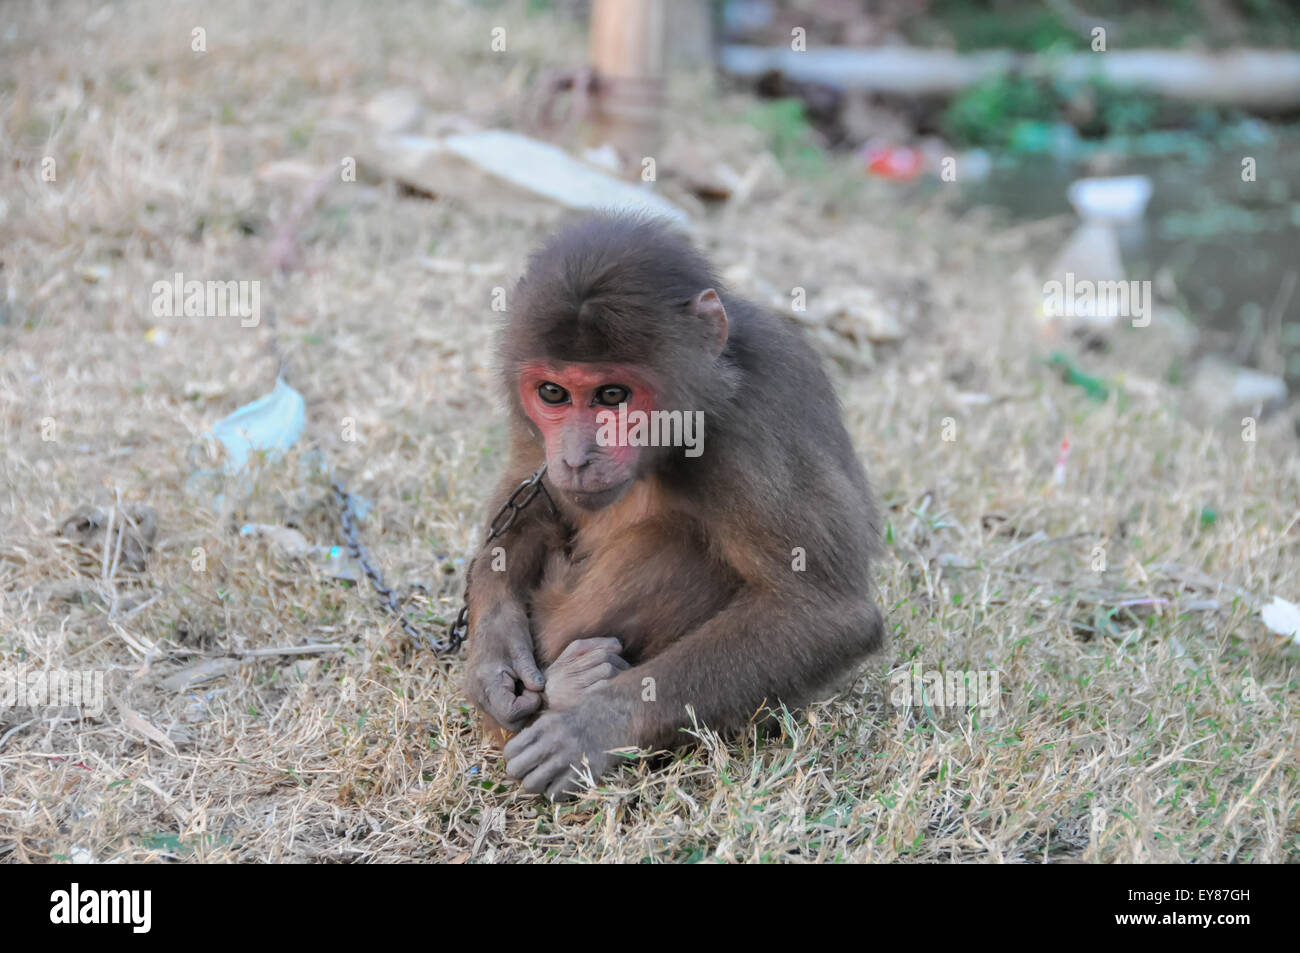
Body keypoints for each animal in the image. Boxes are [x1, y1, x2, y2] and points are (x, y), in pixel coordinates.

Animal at [462, 213, 884, 799]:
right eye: (552, 393)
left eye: (612, 396)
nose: (574, 457)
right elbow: (529, 494)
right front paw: (494, 658)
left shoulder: (750, 429)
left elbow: (826, 612)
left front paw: (595, 727)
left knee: (680, 546)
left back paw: (572, 689)